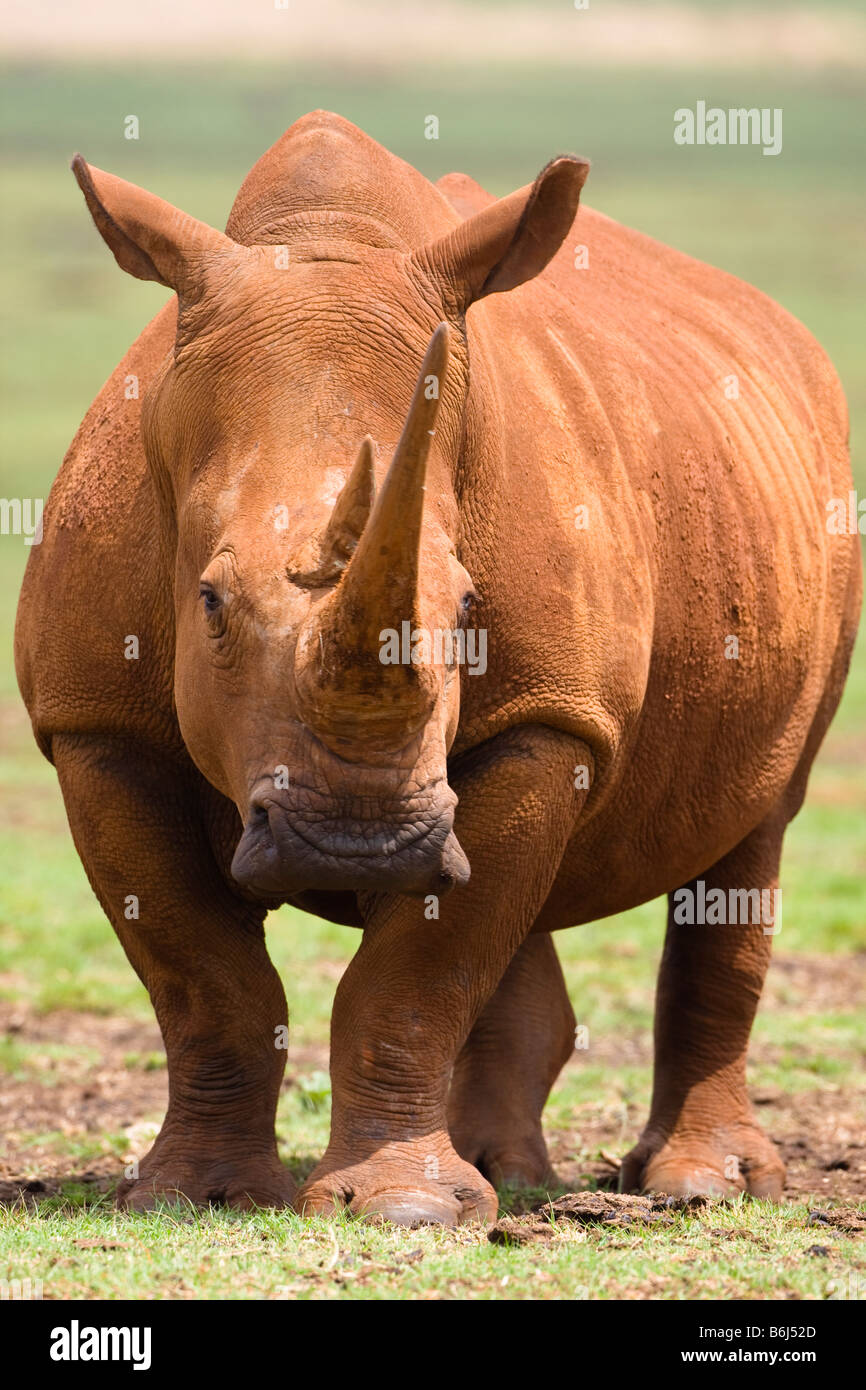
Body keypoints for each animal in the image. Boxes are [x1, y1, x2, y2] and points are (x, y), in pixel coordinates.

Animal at [15, 112, 860, 1225]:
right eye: (209, 602)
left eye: (465, 609)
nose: (359, 846)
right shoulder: (95, 725)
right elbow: (205, 978)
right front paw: (191, 1196)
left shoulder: (550, 714)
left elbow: (417, 973)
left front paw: (404, 1211)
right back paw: (510, 1172)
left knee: (756, 826)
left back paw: (701, 1189)